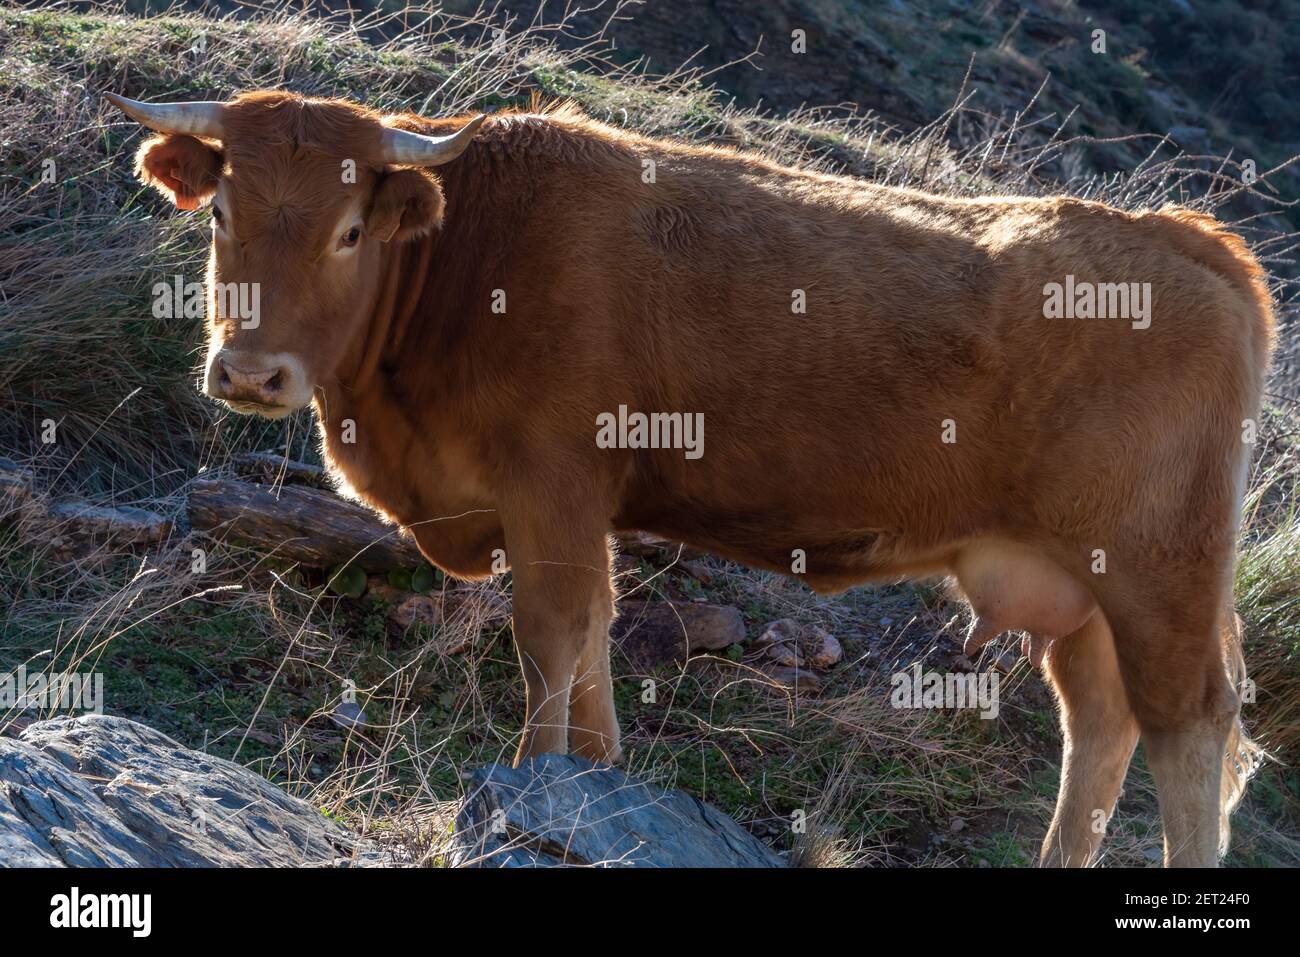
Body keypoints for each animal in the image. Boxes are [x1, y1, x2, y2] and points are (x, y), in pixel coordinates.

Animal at [107, 90, 1273, 867]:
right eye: (222, 215)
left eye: (350, 231)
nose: (250, 372)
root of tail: (1190, 241)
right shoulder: (578, 508)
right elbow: (594, 645)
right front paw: (594, 781)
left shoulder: (552, 487)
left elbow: (549, 639)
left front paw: (534, 787)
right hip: (1081, 590)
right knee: (1102, 722)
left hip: (1157, 567)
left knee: (1188, 726)